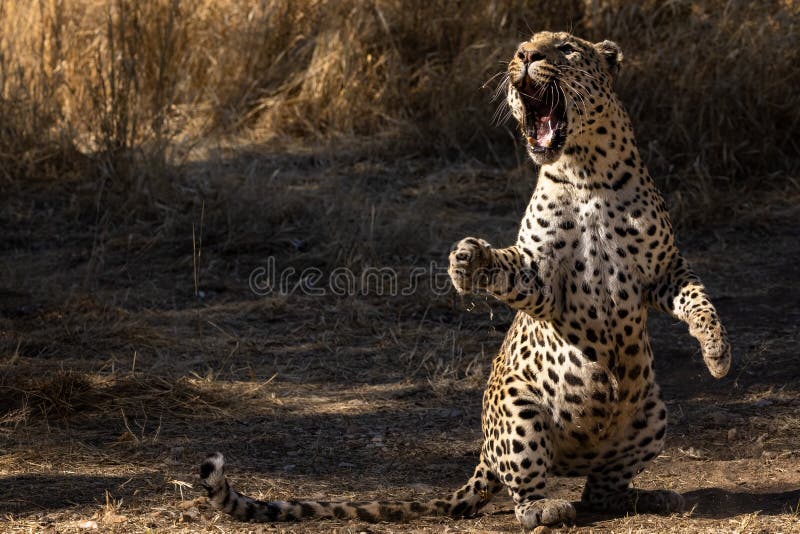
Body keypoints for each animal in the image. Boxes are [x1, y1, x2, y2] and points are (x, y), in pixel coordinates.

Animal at [199, 31, 731, 530]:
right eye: (523, 46)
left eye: (564, 48)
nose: (525, 57)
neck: (586, 170)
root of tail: (485, 455)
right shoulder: (542, 276)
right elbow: (511, 269)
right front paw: (468, 261)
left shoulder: (663, 269)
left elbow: (699, 300)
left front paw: (716, 353)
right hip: (518, 408)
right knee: (534, 488)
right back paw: (544, 507)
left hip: (652, 416)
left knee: (601, 491)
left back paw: (651, 497)